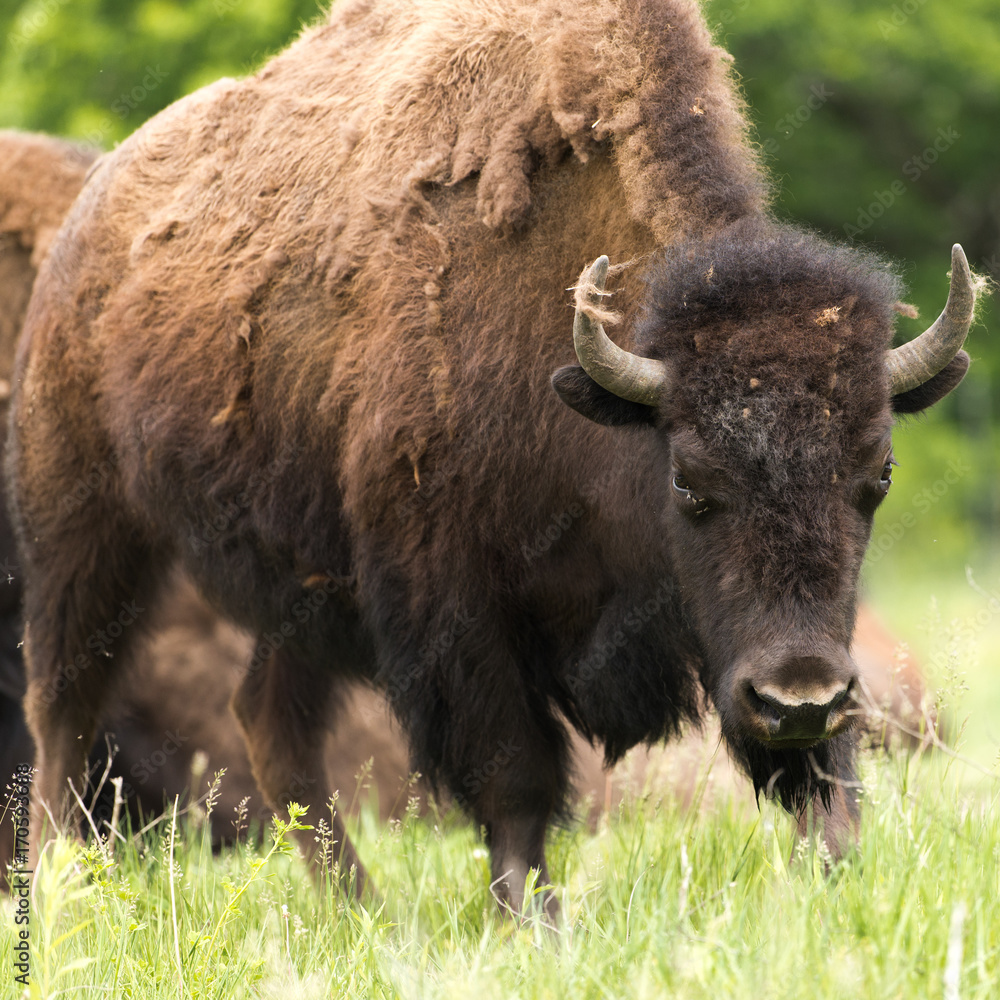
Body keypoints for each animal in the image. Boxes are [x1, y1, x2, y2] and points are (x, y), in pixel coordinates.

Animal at [9, 0, 976, 916]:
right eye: (690, 484)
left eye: (877, 478)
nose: (798, 698)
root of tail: (87, 224)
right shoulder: (457, 607)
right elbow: (515, 777)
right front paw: (534, 922)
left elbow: (826, 780)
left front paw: (834, 877)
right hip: (85, 527)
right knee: (61, 705)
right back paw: (59, 893)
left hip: (302, 587)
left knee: (268, 717)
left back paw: (358, 909)